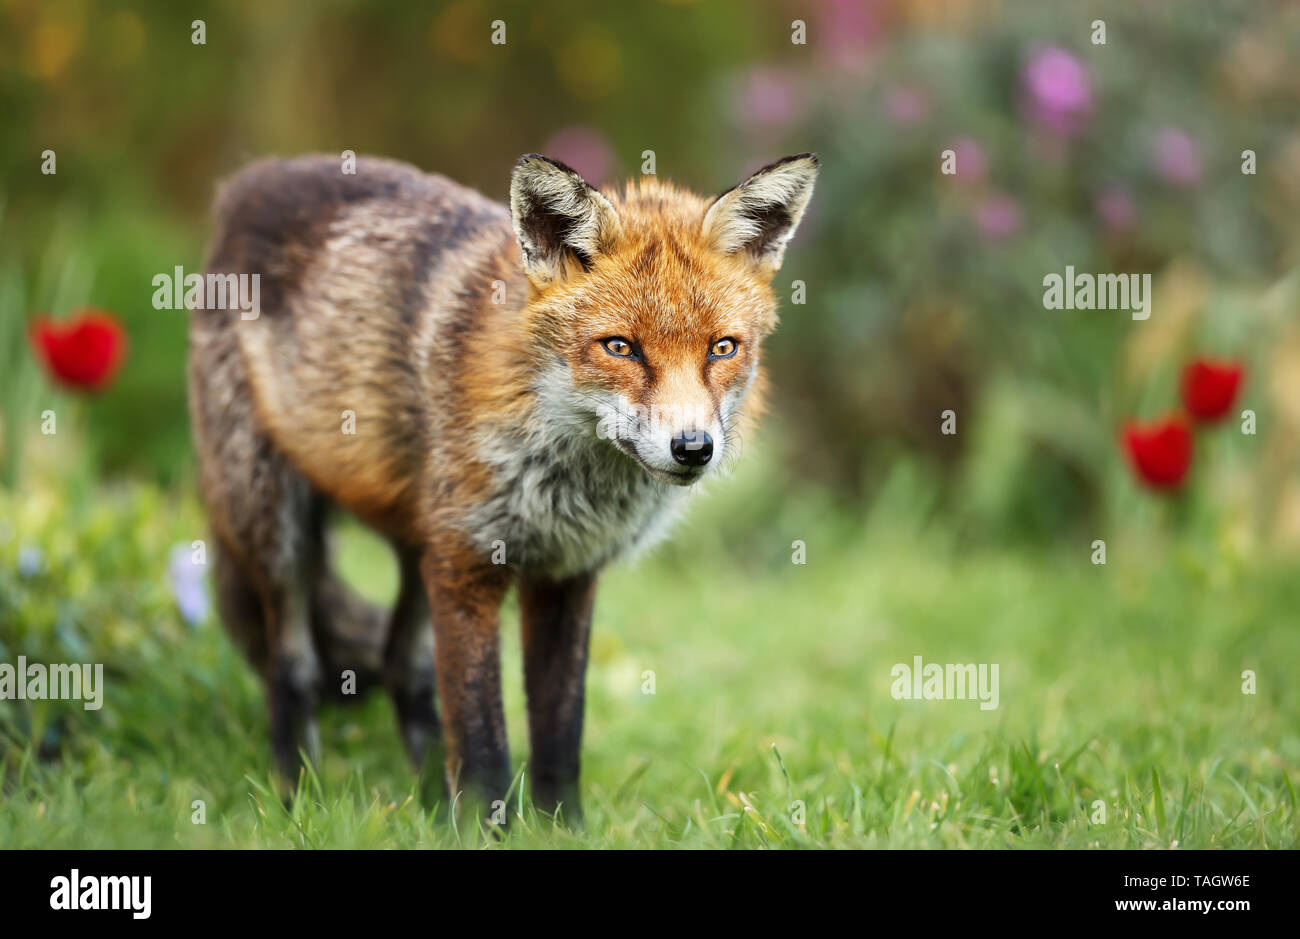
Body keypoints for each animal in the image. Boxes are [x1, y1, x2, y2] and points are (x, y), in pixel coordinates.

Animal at [187, 150, 818, 820]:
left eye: (722, 348)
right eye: (621, 347)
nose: (693, 448)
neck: (569, 480)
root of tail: (250, 181)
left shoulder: (565, 574)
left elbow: (560, 730)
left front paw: (560, 828)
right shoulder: (468, 564)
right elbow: (482, 737)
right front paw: (485, 826)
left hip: (418, 544)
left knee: (401, 664)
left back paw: (428, 804)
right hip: (276, 530)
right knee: (294, 668)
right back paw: (297, 799)